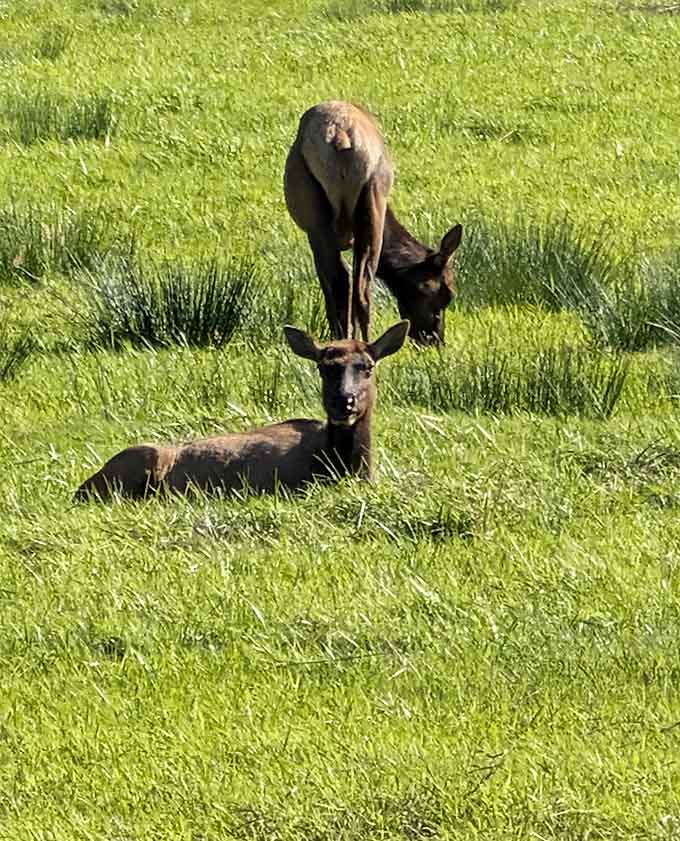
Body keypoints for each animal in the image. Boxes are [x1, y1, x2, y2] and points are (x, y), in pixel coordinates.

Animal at [284, 100, 463, 346]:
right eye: (446, 295)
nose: (435, 339)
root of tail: (341, 137)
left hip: (322, 214)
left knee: (346, 284)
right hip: (371, 197)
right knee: (356, 286)